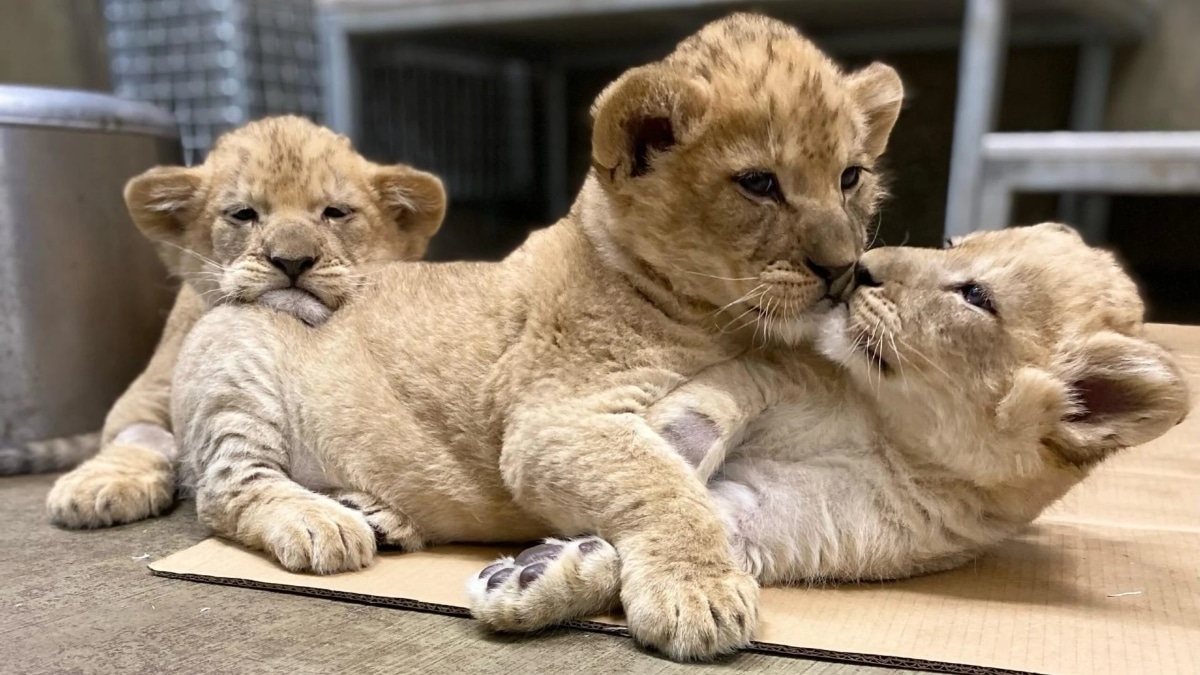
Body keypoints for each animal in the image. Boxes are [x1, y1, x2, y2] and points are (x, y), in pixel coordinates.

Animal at [44, 115, 446, 528]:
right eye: (243, 214)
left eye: (335, 212)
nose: (292, 260)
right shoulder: (150, 387)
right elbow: (138, 434)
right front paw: (99, 486)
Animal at [165, 14, 904, 661]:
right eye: (758, 183)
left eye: (850, 176)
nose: (844, 269)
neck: (719, 318)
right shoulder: (553, 419)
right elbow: (663, 485)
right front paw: (699, 593)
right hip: (233, 366)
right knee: (225, 490)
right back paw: (323, 522)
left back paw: (377, 512)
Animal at [467, 223, 1190, 634]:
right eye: (952, 243)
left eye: (976, 296)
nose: (859, 267)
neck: (883, 428)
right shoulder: (782, 368)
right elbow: (715, 407)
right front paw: (661, 438)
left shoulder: (786, 522)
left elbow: (695, 524)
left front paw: (538, 575)